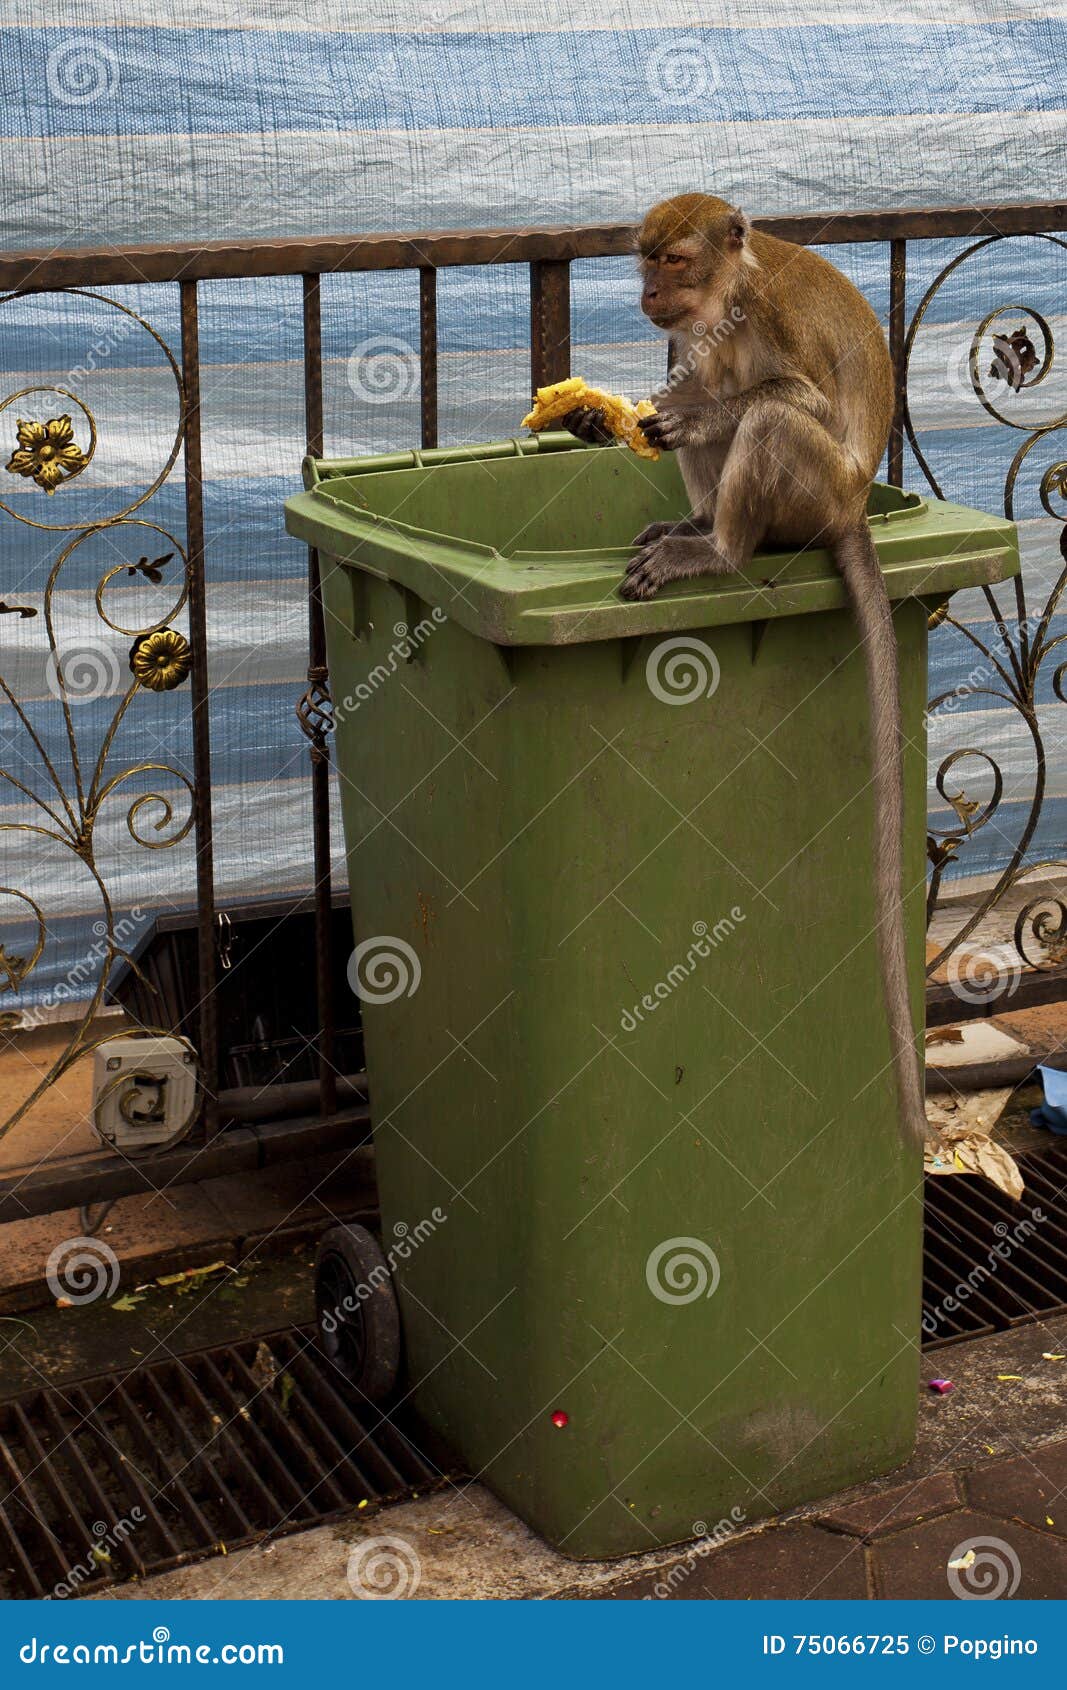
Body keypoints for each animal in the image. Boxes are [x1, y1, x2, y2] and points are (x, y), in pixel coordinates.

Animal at [561, 192, 927, 1150]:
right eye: (645, 259)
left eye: (673, 260)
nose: (650, 292)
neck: (727, 294)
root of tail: (853, 512)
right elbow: (682, 385)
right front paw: (594, 417)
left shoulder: (768, 317)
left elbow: (787, 399)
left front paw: (695, 421)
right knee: (713, 390)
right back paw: (691, 525)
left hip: (815, 493)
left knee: (766, 419)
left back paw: (719, 550)